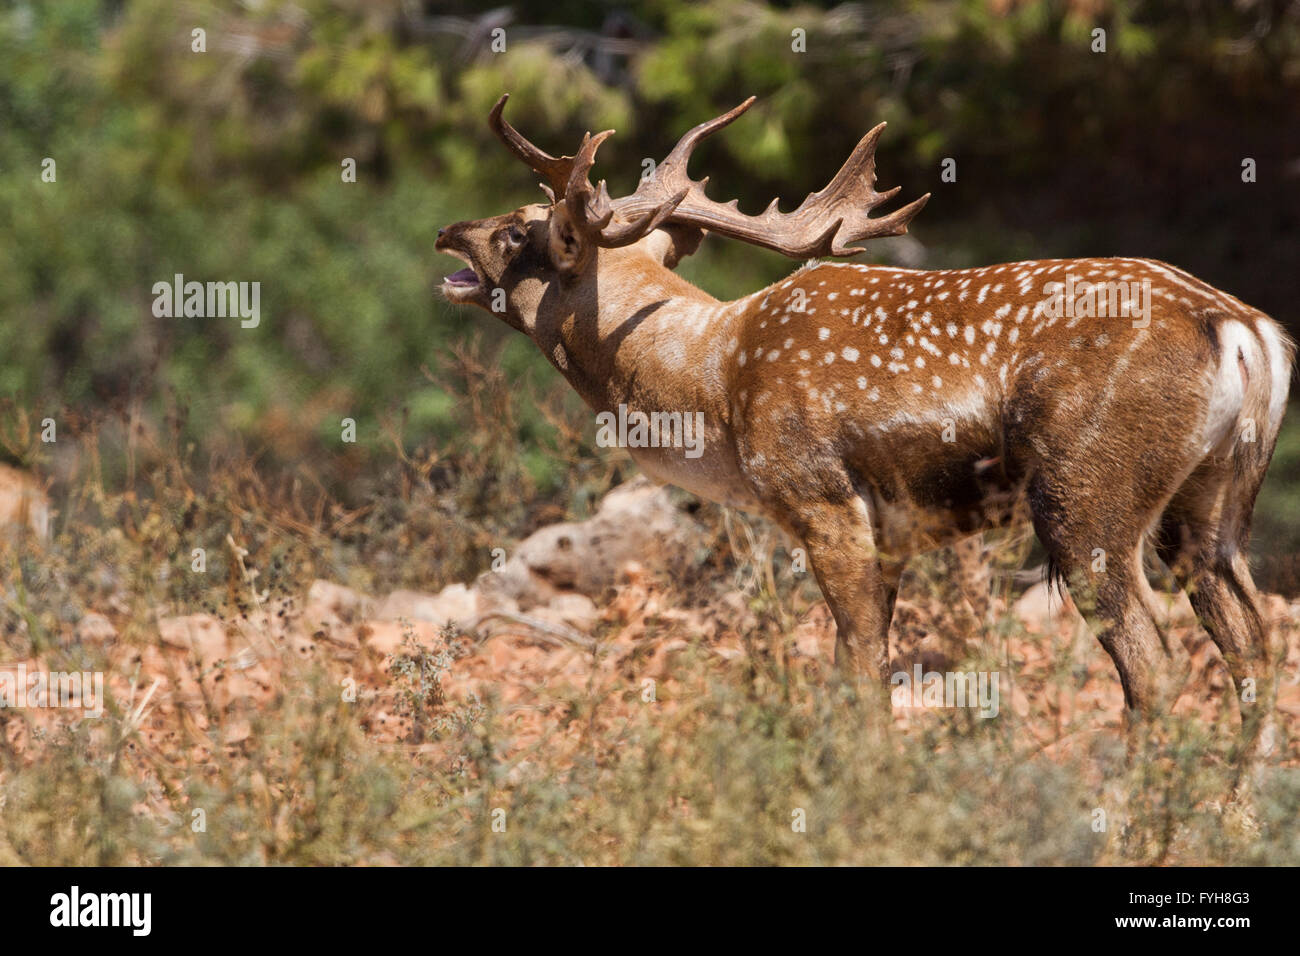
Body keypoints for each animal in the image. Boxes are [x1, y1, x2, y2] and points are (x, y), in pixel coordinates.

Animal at [436, 94, 1294, 756]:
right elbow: (870, 669)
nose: (448, 231)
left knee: (1154, 666)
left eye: (517, 231)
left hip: (1087, 495)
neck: (711, 381)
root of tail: (1244, 330)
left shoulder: (821, 498)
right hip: (1210, 507)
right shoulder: (894, 532)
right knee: (1254, 648)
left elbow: (854, 676)